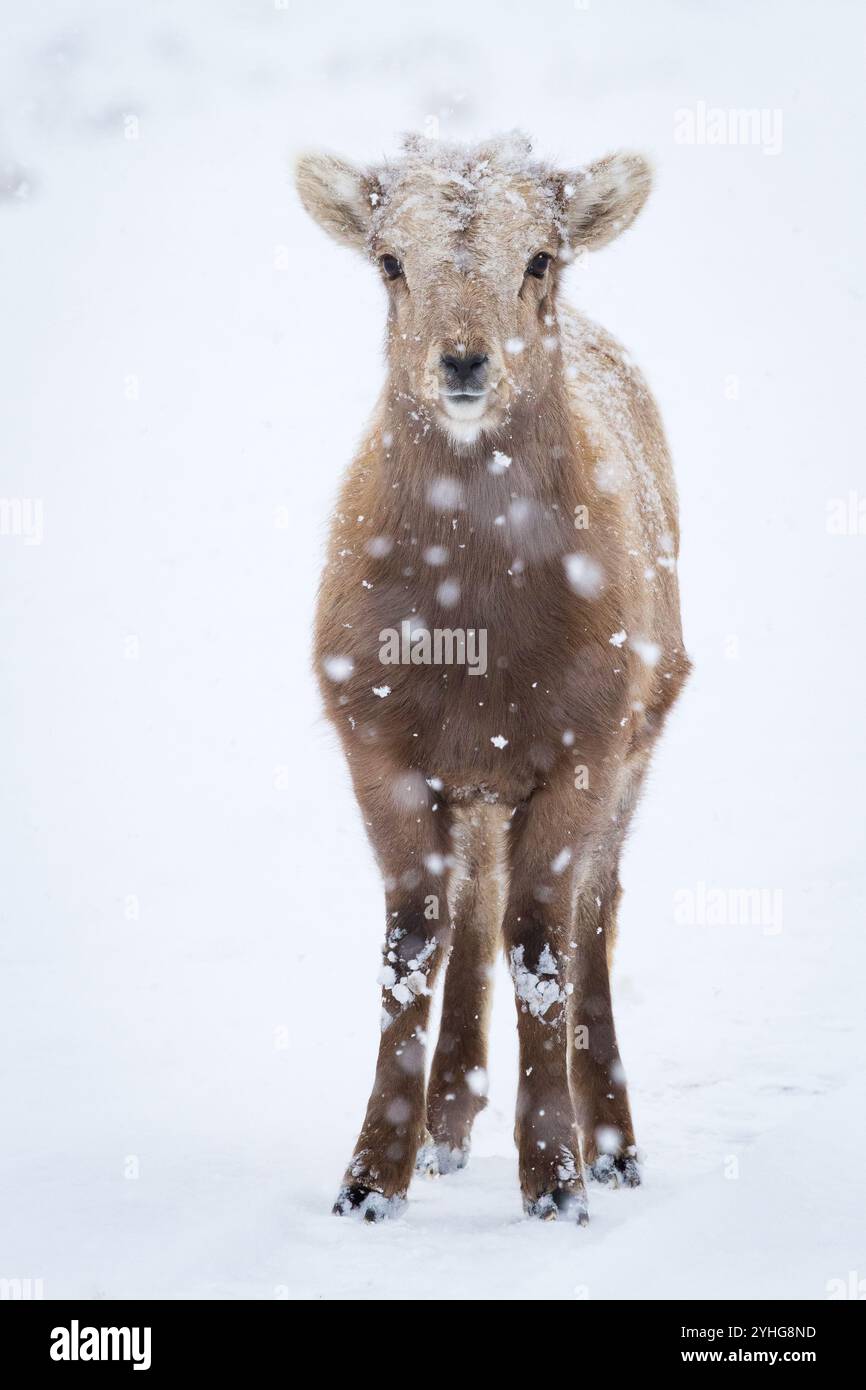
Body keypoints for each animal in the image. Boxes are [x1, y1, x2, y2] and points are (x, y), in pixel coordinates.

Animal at [295, 133, 689, 1224]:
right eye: (390, 261)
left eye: (539, 259)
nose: (465, 361)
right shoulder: (377, 745)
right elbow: (412, 944)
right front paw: (367, 1180)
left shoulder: (582, 747)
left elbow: (543, 947)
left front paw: (555, 1181)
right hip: (475, 780)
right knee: (475, 901)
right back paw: (447, 1121)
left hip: (637, 741)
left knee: (594, 910)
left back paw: (613, 1144)